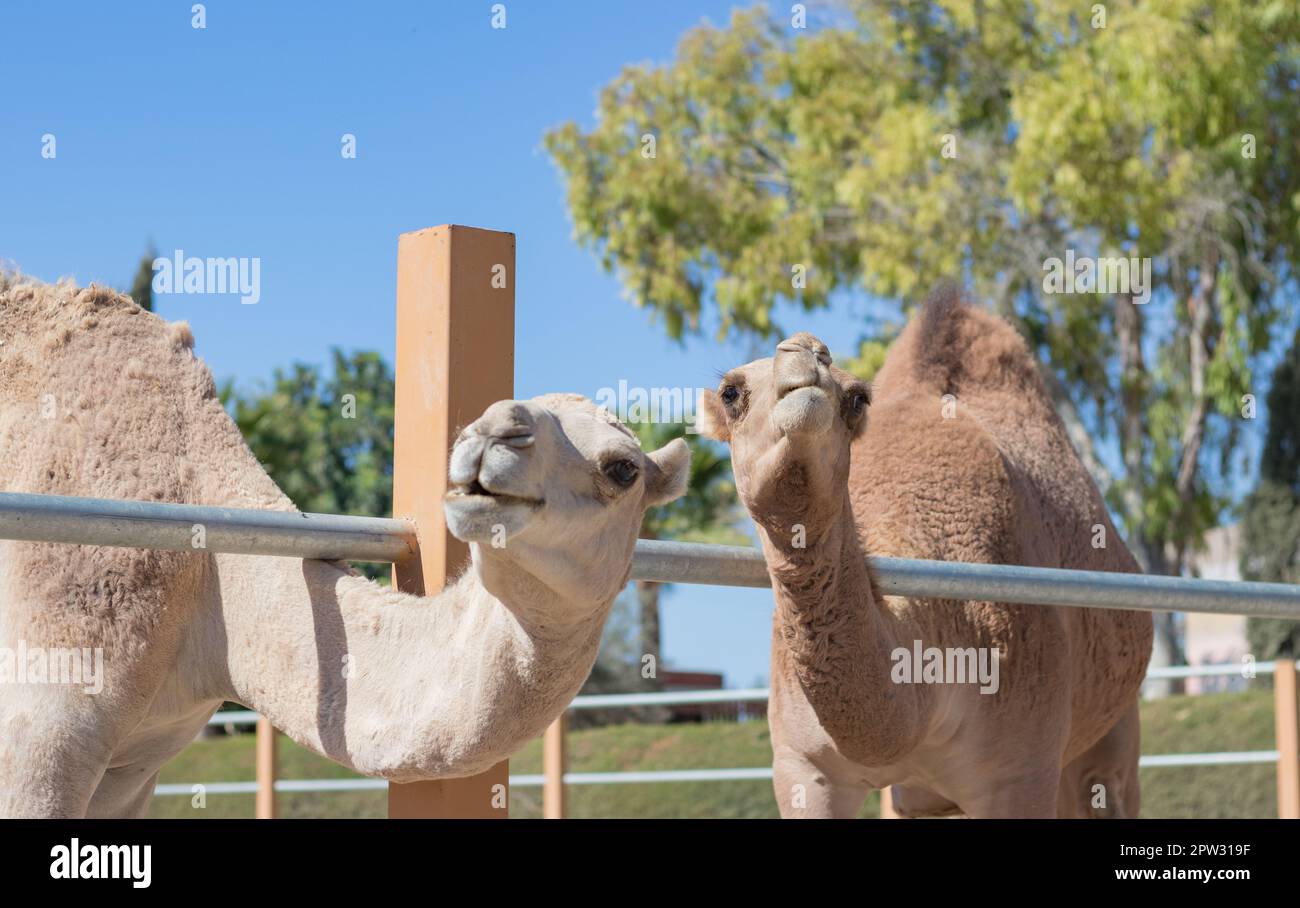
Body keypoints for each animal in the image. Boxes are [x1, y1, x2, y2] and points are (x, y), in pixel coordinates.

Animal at [699, 286, 1153, 818]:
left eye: (856, 399)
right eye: (731, 393)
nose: (806, 352)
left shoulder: (1017, 771)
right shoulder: (804, 767)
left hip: (1109, 733)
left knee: (1105, 783)